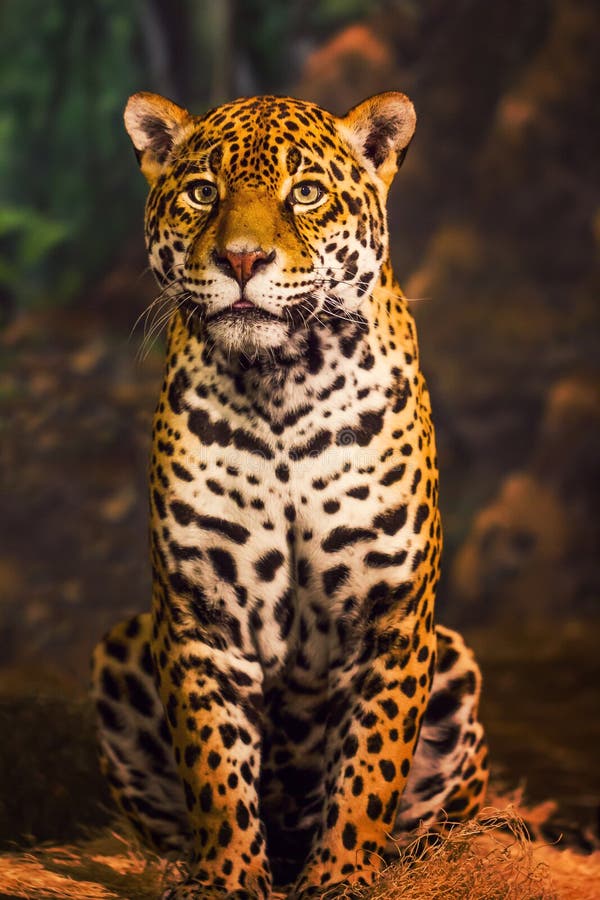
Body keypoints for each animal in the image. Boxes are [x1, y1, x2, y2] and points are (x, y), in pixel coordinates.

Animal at [91, 89, 489, 899]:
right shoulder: (199, 615)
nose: (242, 259)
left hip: (457, 662)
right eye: (201, 193)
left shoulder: (391, 618)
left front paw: (341, 877)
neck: (281, 385)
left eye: (304, 193)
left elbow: (368, 768)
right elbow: (214, 770)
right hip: (122, 647)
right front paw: (224, 879)